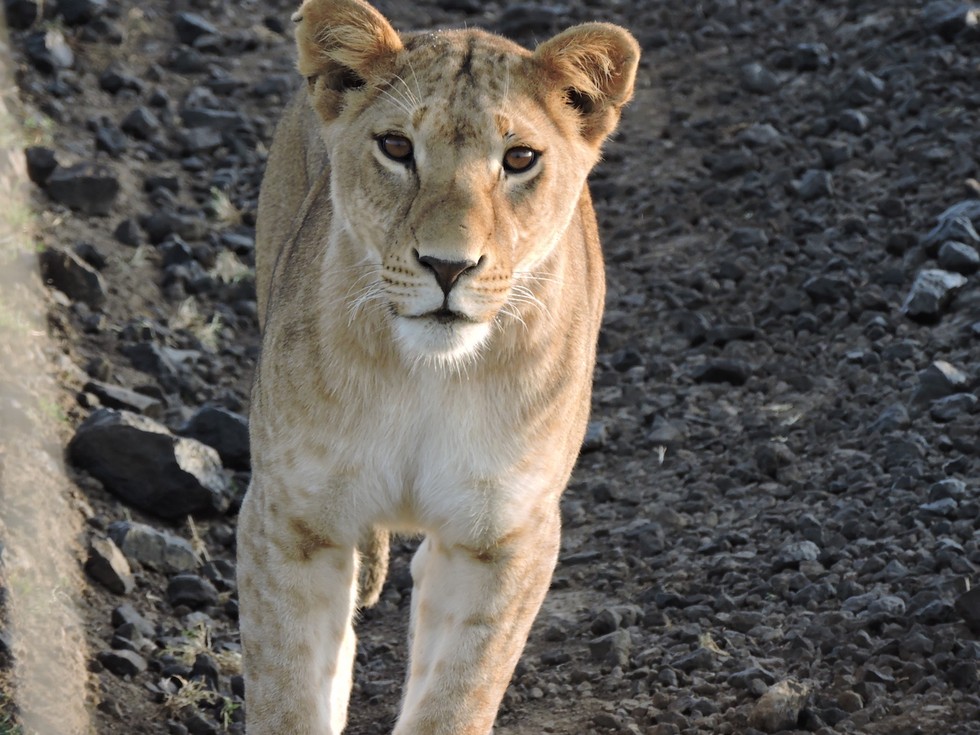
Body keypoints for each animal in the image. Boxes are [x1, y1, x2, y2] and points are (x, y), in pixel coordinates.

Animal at [236, 0, 639, 732]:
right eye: (397, 148)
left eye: (520, 159)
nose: (448, 267)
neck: (430, 377)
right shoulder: (288, 515)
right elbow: (286, 692)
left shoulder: (507, 536)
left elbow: (458, 693)